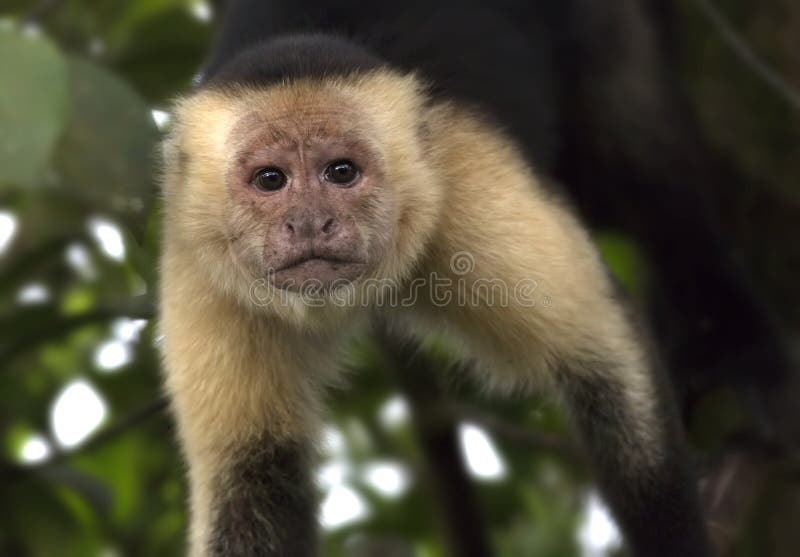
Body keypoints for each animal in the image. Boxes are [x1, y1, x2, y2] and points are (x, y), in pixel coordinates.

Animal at [158, 1, 724, 556]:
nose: (310, 222)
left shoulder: (462, 176)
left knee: (646, 161)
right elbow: (253, 478)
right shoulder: (198, 259)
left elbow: (603, 359)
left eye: (341, 172)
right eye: (270, 180)